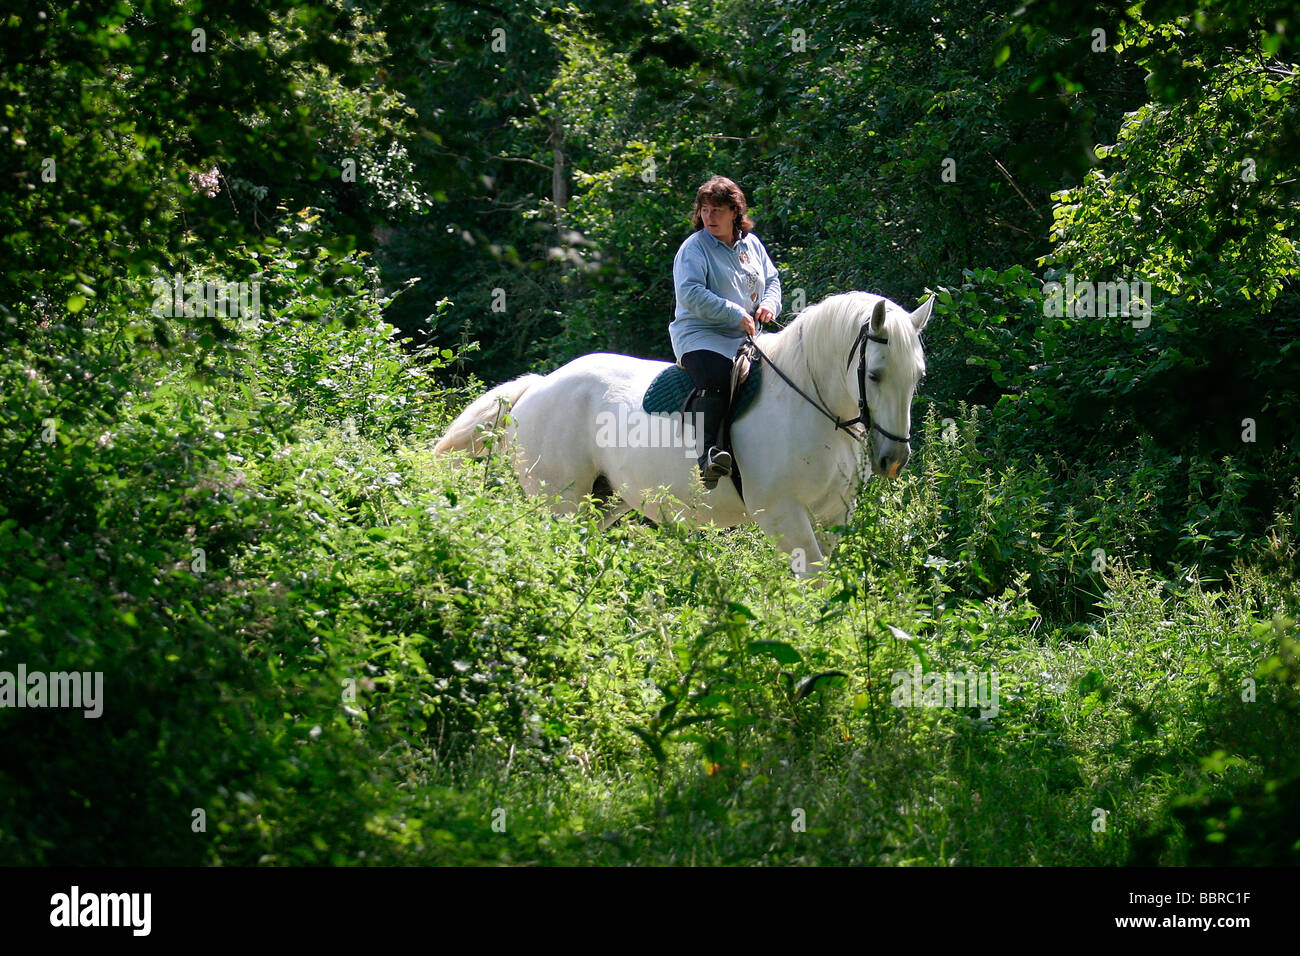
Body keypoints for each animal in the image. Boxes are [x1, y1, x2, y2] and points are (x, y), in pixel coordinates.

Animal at [435, 291, 932, 576]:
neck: (811, 404)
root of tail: (538, 386)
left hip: (600, 503)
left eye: (917, 377)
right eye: (875, 375)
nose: (893, 460)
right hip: (558, 504)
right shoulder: (783, 515)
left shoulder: (834, 515)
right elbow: (813, 582)